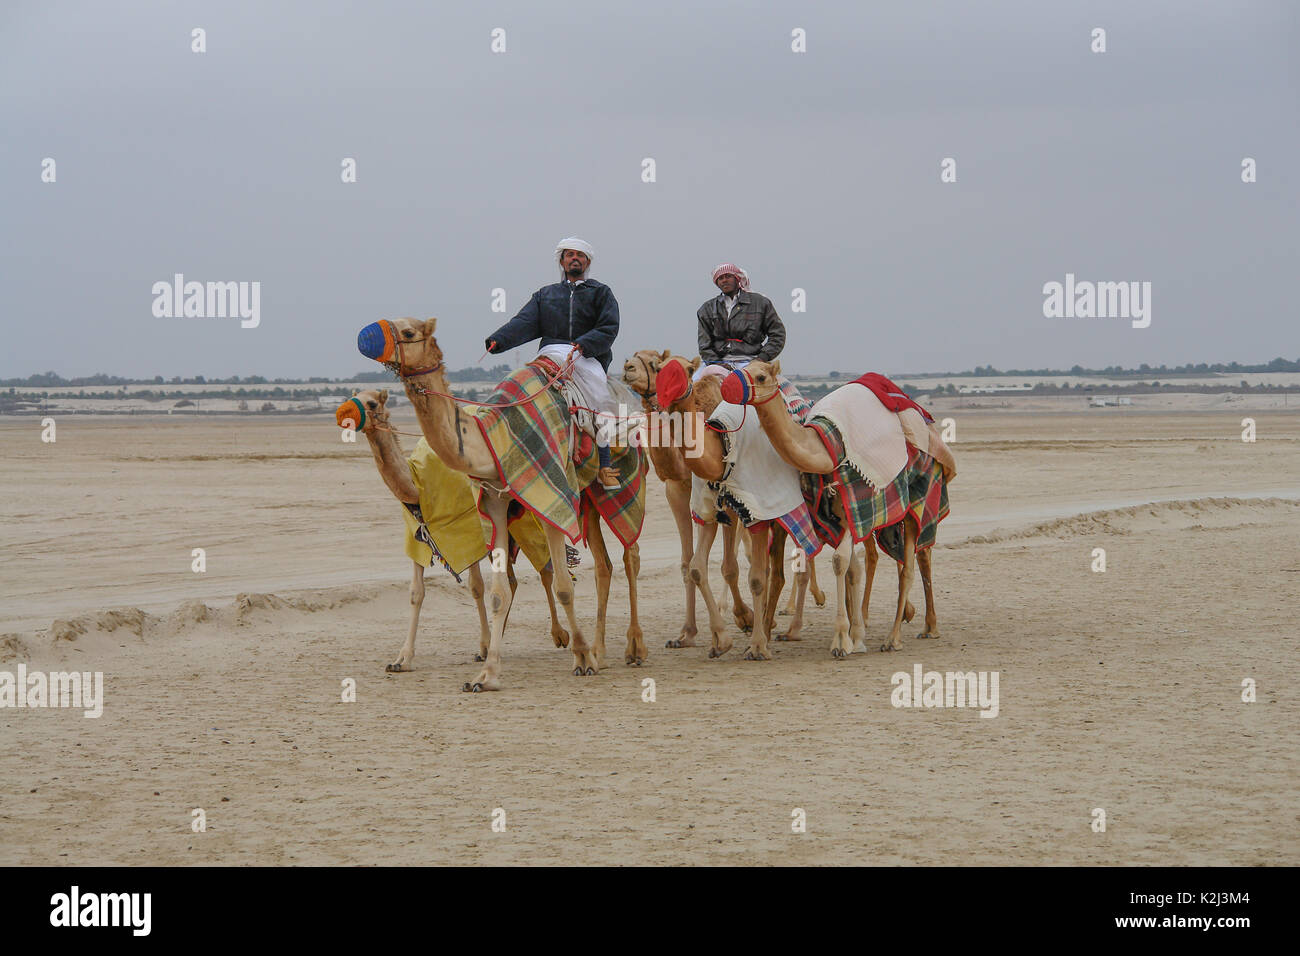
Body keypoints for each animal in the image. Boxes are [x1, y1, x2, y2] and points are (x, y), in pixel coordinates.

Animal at [335, 389, 570, 672]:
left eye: (371, 403)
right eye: (352, 396)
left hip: (527, 512)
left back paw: (559, 635)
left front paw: (484, 646)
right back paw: (503, 635)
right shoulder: (419, 538)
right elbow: (416, 592)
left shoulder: (469, 533)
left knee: (545, 569)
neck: (418, 487)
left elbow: (476, 587)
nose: (343, 414)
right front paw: (402, 659)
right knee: (513, 579)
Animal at [720, 362, 955, 653]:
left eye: (761, 376)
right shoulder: (835, 518)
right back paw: (923, 625)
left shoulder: (854, 513)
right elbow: (850, 567)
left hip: (918, 500)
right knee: (909, 557)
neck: (825, 452)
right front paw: (856, 636)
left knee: (912, 565)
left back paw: (898, 637)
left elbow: (840, 562)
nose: (728, 385)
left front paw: (842, 640)